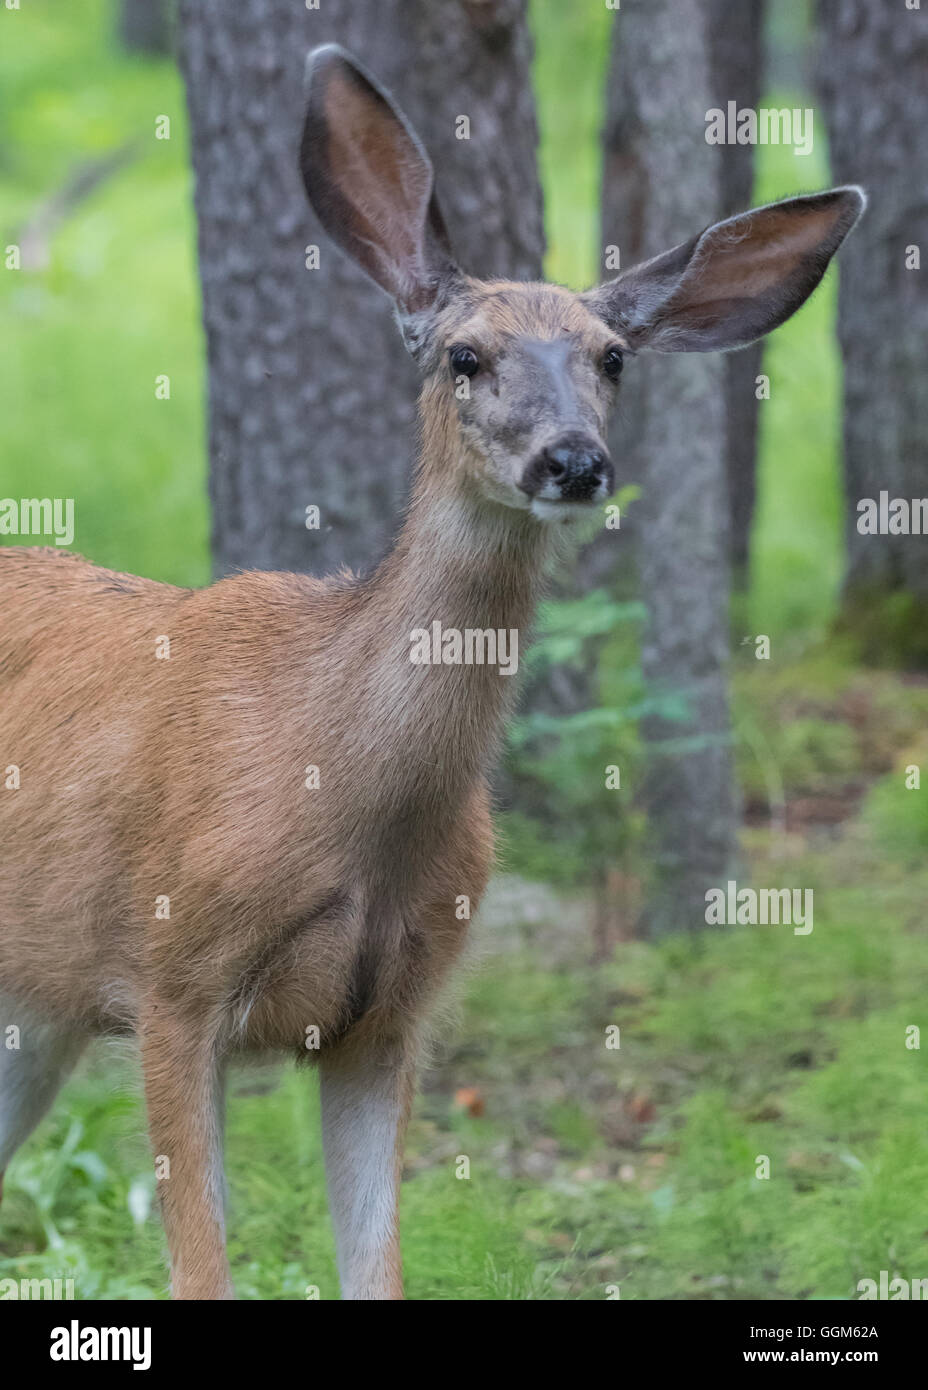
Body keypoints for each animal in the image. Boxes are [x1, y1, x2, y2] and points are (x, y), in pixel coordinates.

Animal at [0, 44, 863, 1300]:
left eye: (612, 359)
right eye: (466, 355)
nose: (573, 460)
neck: (345, 791)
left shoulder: (388, 1014)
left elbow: (377, 1267)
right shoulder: (171, 977)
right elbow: (204, 1271)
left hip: (35, 1007)